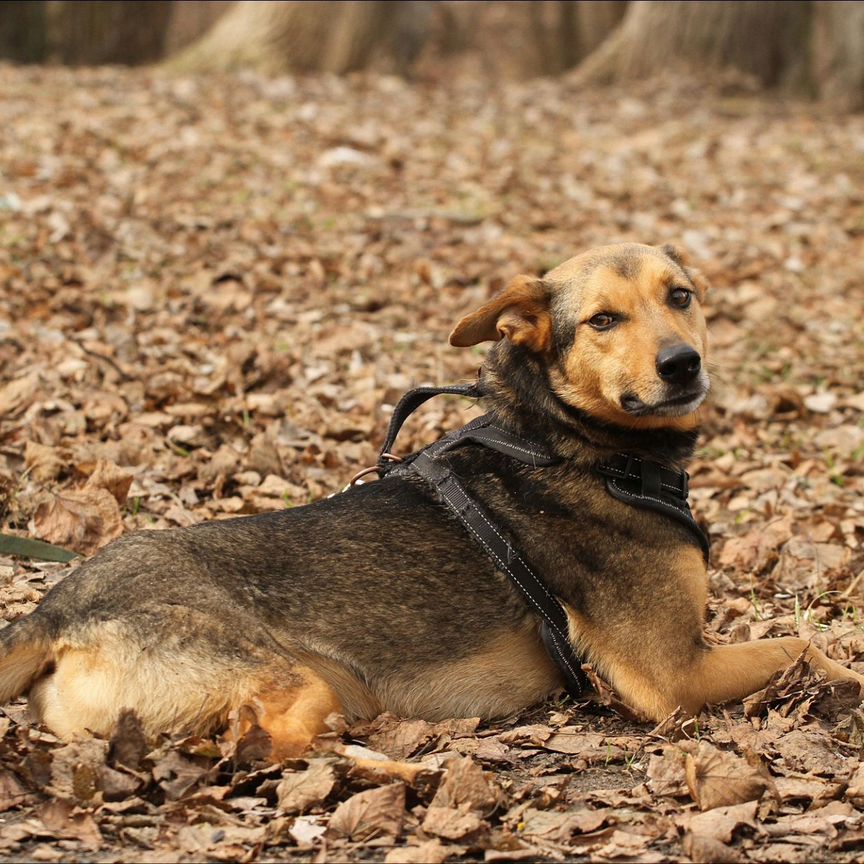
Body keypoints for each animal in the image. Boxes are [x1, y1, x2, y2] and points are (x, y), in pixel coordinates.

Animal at [1, 243, 864, 756]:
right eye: (602, 320)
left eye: (680, 296)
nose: (684, 364)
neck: (563, 441)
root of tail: (56, 609)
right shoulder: (674, 676)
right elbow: (806, 646)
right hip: (287, 682)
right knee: (257, 745)